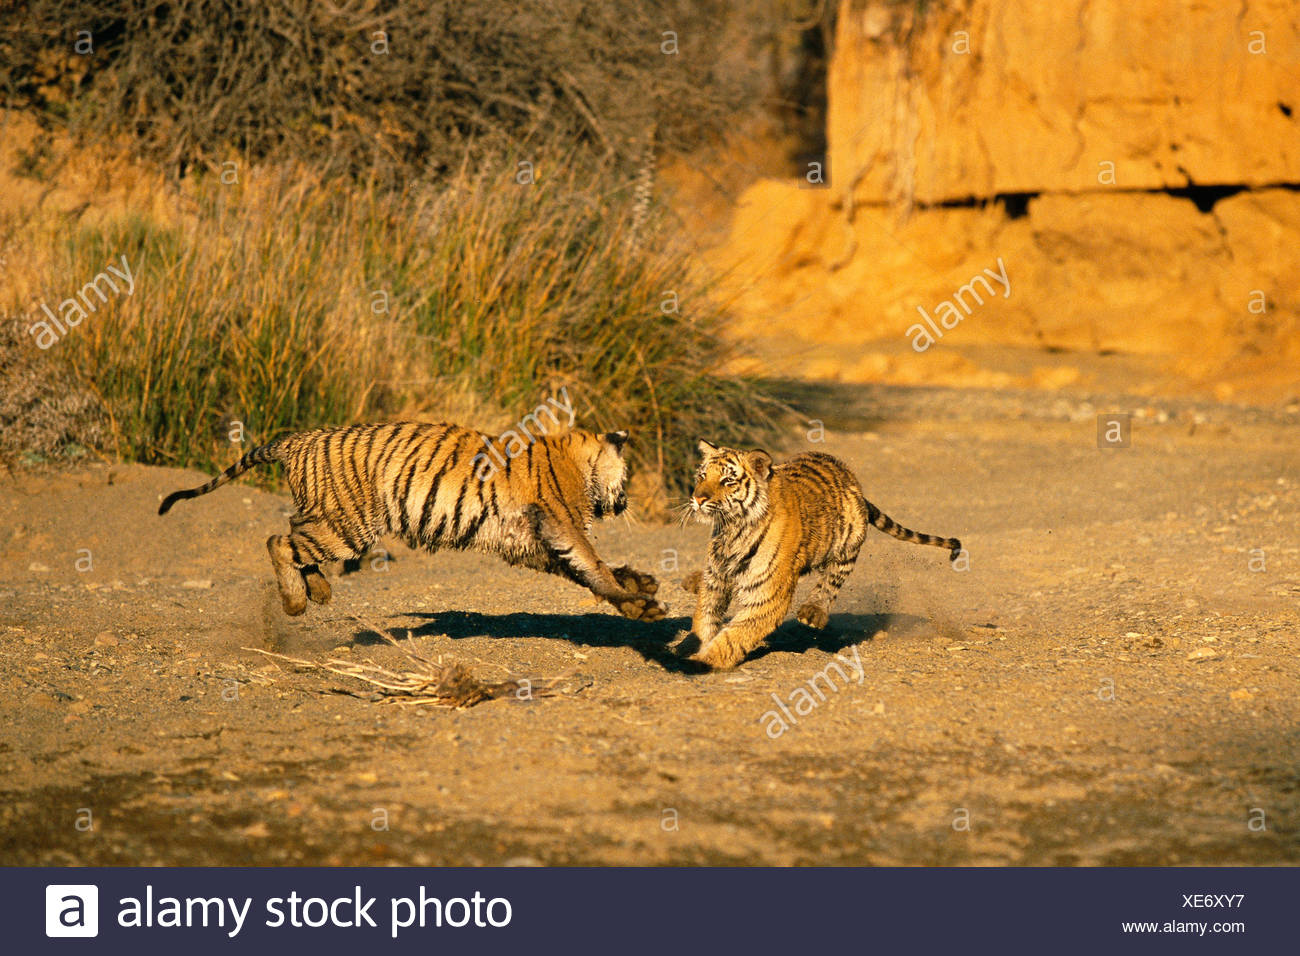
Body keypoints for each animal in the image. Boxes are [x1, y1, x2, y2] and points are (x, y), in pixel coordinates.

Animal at [158, 422, 665, 621]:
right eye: (627, 477)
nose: (625, 502)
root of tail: (296, 439)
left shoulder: (528, 540)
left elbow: (592, 574)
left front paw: (639, 591)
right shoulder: (561, 525)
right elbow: (593, 567)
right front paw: (639, 602)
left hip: (327, 516)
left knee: (293, 535)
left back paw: (318, 591)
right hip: (349, 526)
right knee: (277, 541)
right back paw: (296, 602)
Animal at [682, 440, 961, 670]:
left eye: (728, 481)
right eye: (702, 475)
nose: (697, 498)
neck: (733, 529)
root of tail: (851, 480)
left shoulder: (768, 595)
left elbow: (736, 634)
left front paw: (702, 661)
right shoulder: (716, 578)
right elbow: (705, 617)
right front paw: (692, 645)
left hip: (848, 542)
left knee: (832, 579)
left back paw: (813, 611)